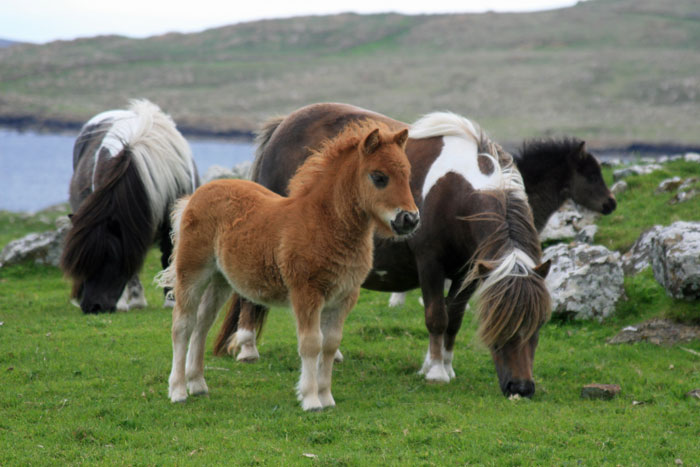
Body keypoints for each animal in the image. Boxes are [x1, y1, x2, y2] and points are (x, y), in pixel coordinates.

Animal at [156, 122, 418, 410]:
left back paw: (198, 384)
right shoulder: (306, 293)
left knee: (203, 323)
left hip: (220, 280)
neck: (323, 223)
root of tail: (194, 197)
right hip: (192, 272)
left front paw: (327, 397)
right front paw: (311, 399)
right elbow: (311, 343)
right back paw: (178, 390)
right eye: (379, 177)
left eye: (407, 175)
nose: (410, 219)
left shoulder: (345, 297)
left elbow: (330, 344)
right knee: (183, 325)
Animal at [213, 103, 551, 398]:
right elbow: (436, 317)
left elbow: (453, 319)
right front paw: (436, 372)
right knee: (249, 297)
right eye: (502, 326)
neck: (457, 189)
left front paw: (445, 365)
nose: (521, 388)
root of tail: (282, 125)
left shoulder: (469, 270)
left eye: (538, 326)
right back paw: (247, 348)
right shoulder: (430, 263)